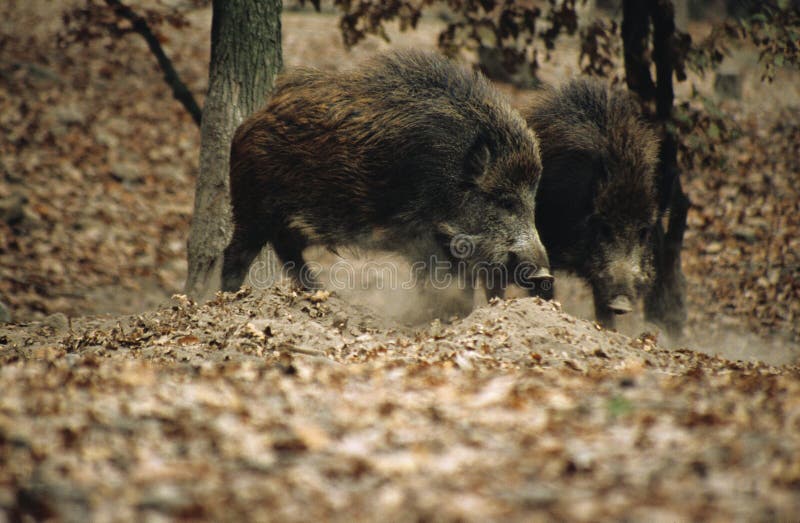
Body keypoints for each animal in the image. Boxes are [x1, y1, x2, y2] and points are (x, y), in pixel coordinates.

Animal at [221, 49, 552, 313]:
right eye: (503, 201)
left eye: (532, 202)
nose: (544, 276)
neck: (447, 181)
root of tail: (249, 122)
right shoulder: (422, 234)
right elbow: (442, 283)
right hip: (253, 207)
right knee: (236, 253)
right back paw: (225, 299)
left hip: (284, 222)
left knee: (289, 255)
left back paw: (321, 294)